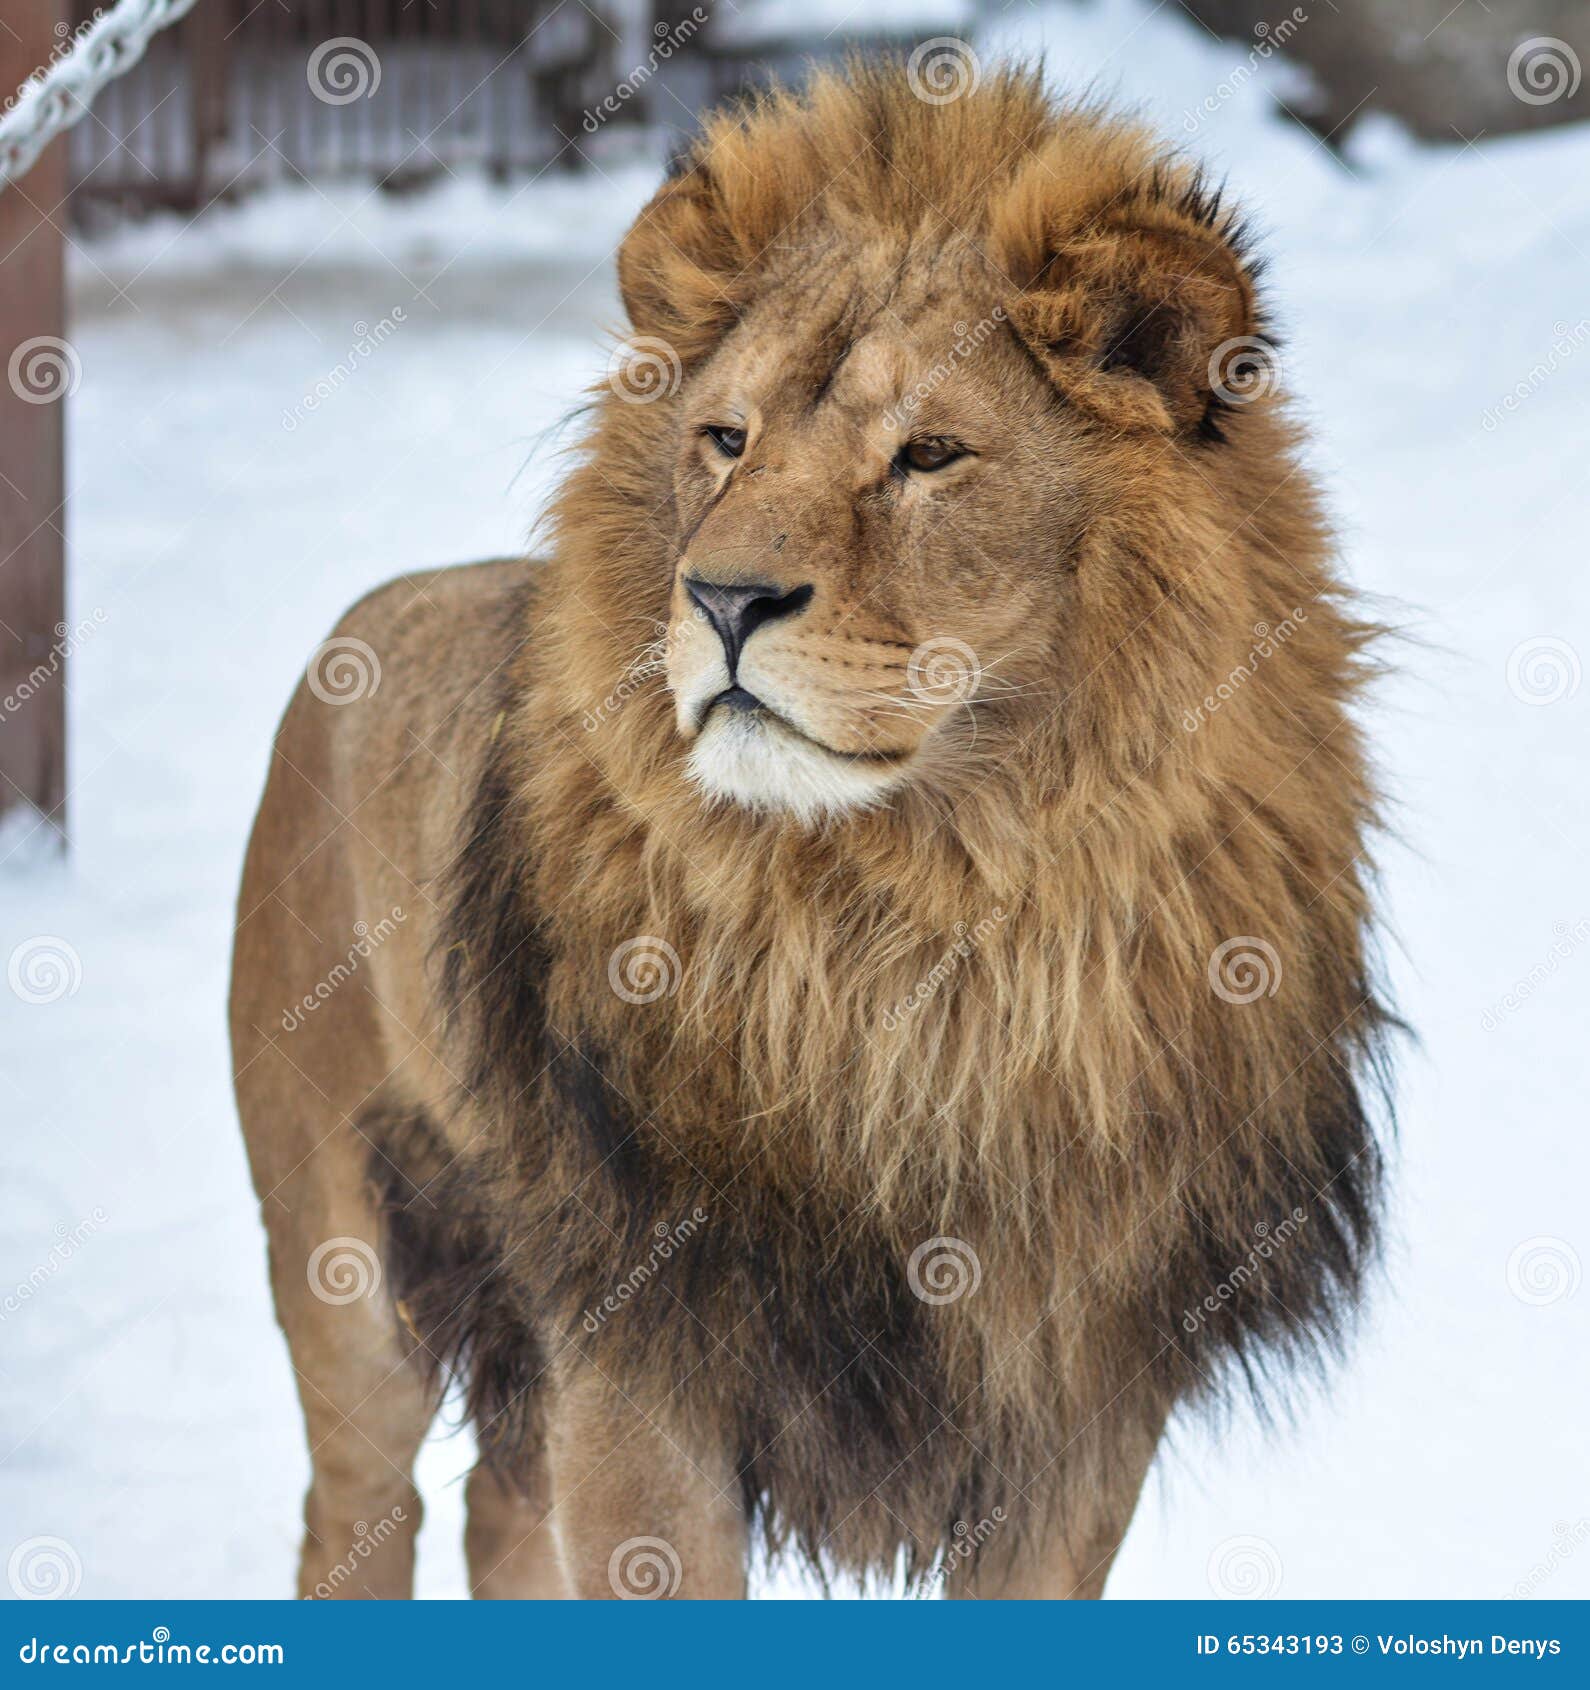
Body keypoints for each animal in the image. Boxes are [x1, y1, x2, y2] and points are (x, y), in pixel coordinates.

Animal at [229, 63, 1395, 1600]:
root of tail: (364, 619)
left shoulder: (1078, 1404)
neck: (916, 920)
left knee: (494, 1506)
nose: (720, 599)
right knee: (360, 1510)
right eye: (726, 440)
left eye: (929, 456)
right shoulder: (641, 1345)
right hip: (347, 1259)